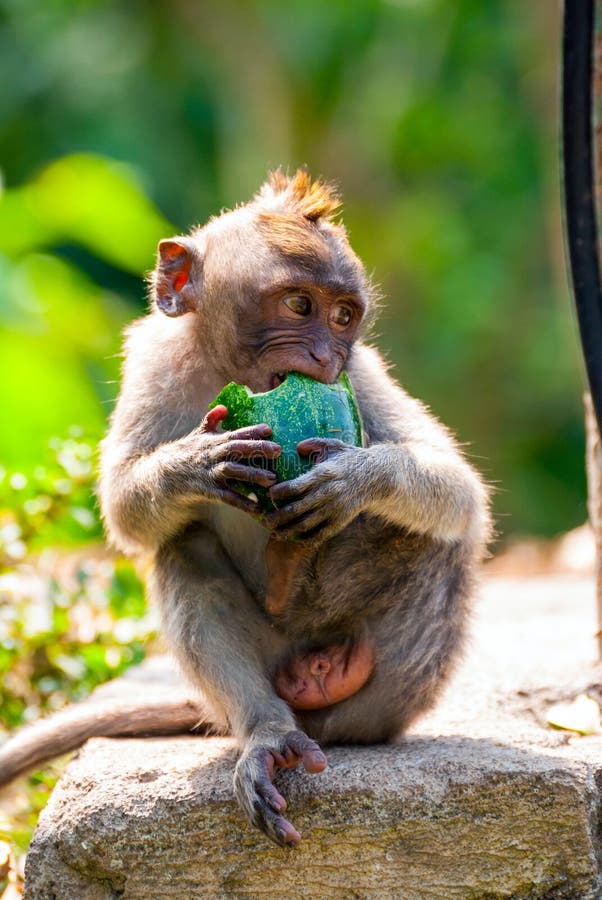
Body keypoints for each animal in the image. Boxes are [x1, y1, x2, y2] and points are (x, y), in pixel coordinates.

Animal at [0, 170, 490, 847]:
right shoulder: (154, 362)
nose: (324, 358)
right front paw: (193, 465)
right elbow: (124, 509)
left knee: (431, 542)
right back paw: (268, 732)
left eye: (344, 317)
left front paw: (352, 479)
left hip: (385, 695)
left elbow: (459, 489)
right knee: (183, 544)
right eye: (299, 306)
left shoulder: (358, 374)